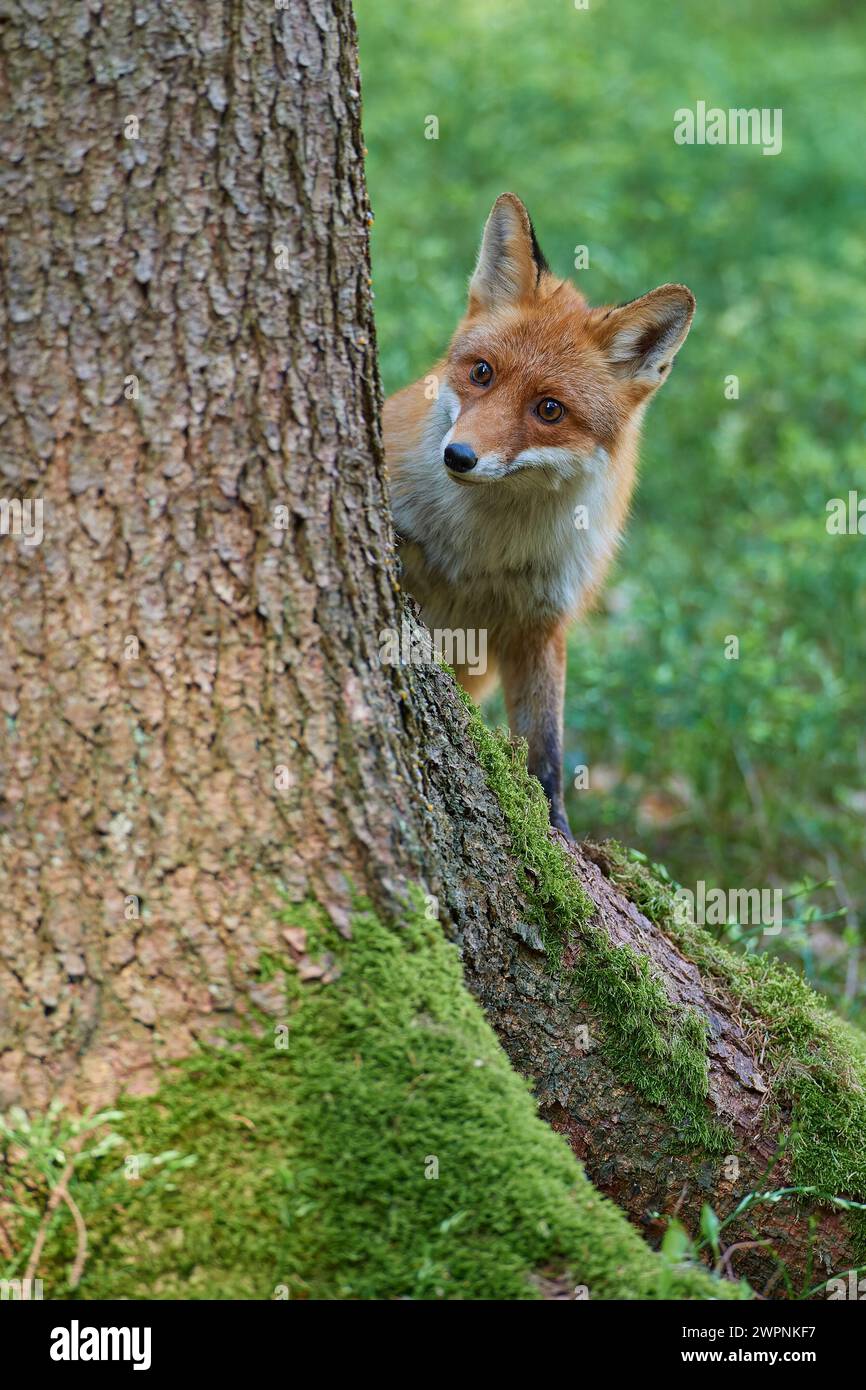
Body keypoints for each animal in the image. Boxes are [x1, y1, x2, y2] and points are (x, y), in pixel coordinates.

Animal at [383, 193, 695, 836]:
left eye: (549, 409)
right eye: (481, 372)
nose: (458, 456)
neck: (482, 549)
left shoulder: (542, 622)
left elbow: (546, 748)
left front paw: (555, 833)